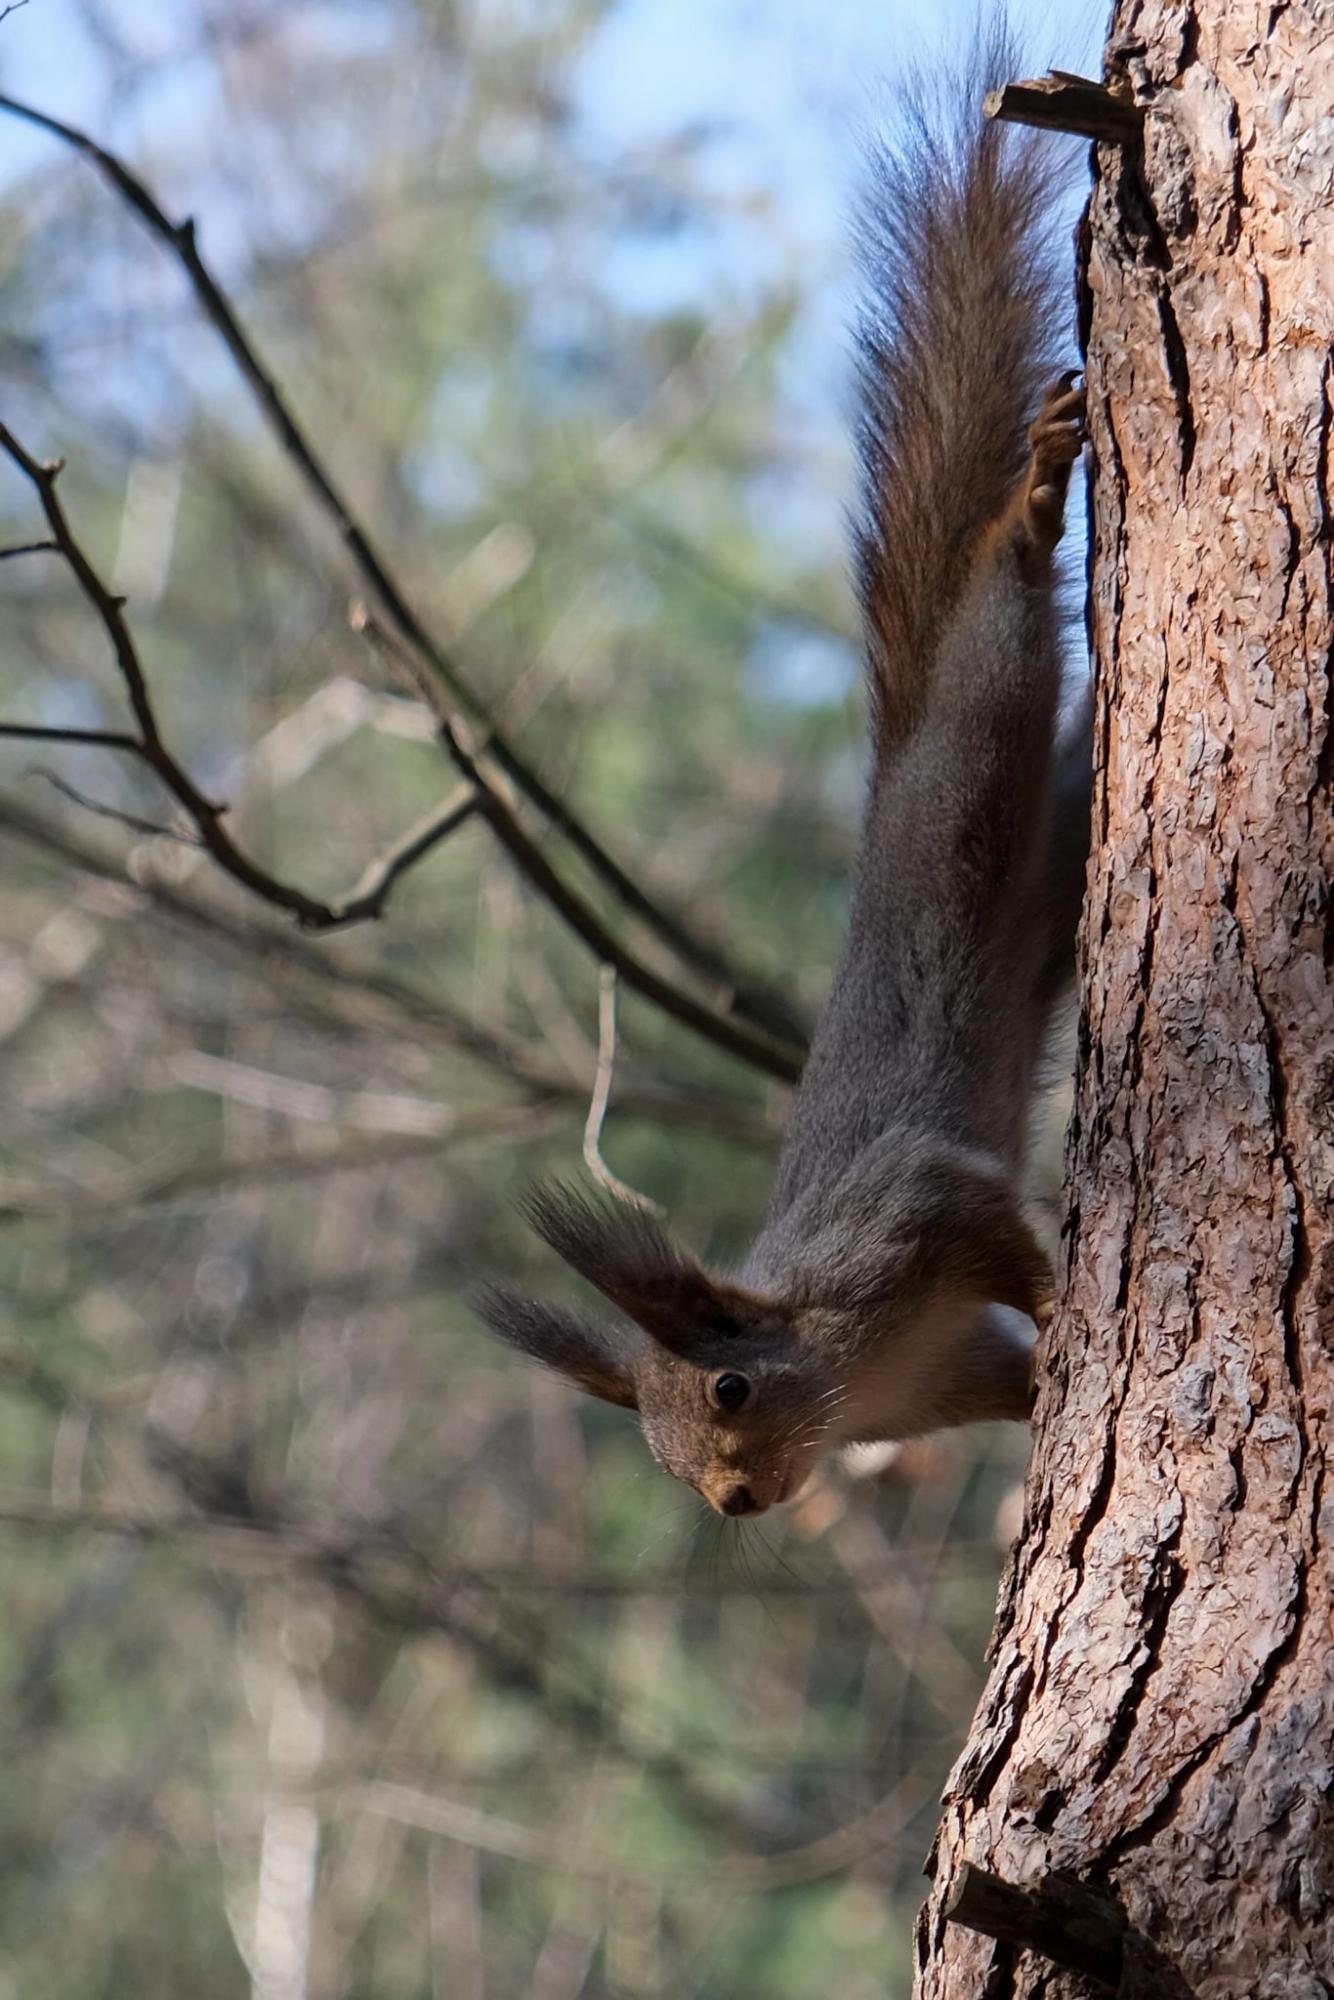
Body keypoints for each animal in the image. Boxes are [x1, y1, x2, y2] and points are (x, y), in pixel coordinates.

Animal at [474, 39, 1088, 1512]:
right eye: (654, 1446)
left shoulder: (909, 1214)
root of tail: (891, 774)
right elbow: (1008, 1371)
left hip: (970, 761)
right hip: (1045, 856)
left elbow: (985, 1219)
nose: (733, 1502)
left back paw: (1027, 509)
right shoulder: (944, 1375)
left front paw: (1066, 1295)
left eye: (728, 1388)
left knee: (998, 636)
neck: (845, 1356)